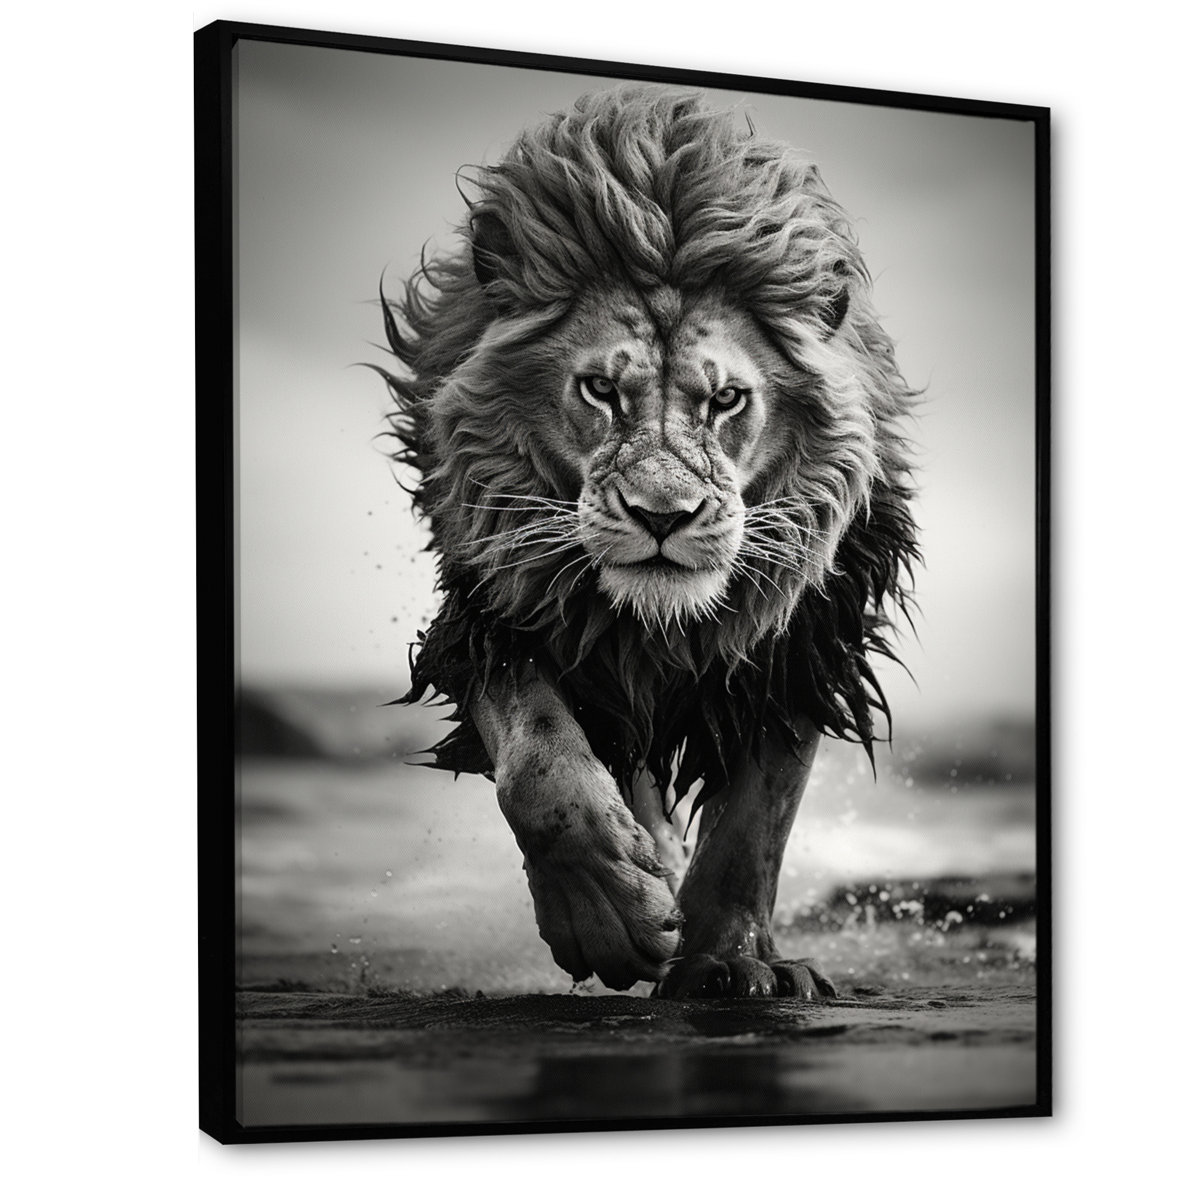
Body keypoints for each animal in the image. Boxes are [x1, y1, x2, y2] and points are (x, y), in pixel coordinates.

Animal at [374, 87, 918, 999]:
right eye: (601, 390)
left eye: (727, 400)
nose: (663, 516)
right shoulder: (496, 609)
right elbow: (540, 767)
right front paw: (606, 916)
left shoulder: (805, 640)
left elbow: (754, 822)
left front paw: (728, 961)